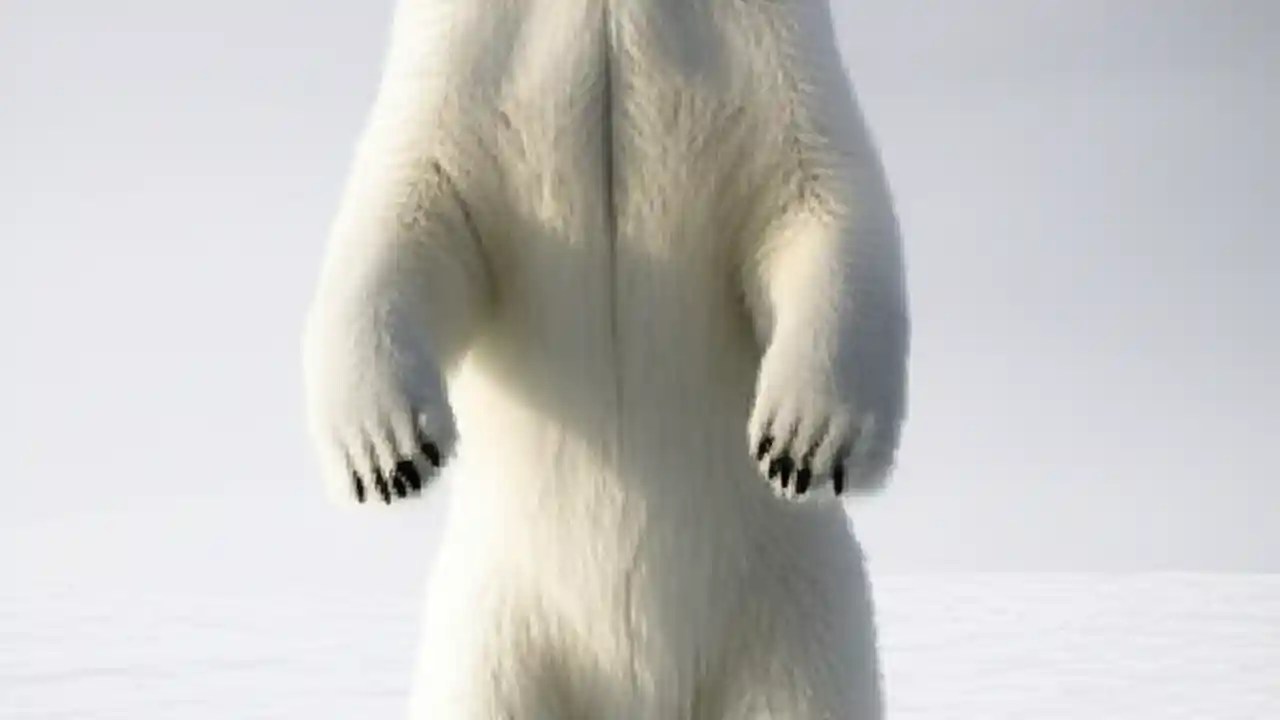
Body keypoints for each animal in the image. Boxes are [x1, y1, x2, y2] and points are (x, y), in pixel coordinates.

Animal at [302, 0, 908, 716]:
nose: (391, 457)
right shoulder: (468, 49)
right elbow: (409, 207)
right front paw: (387, 453)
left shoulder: (766, 46)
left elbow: (813, 192)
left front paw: (801, 443)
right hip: (498, 633)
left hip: (789, 622)